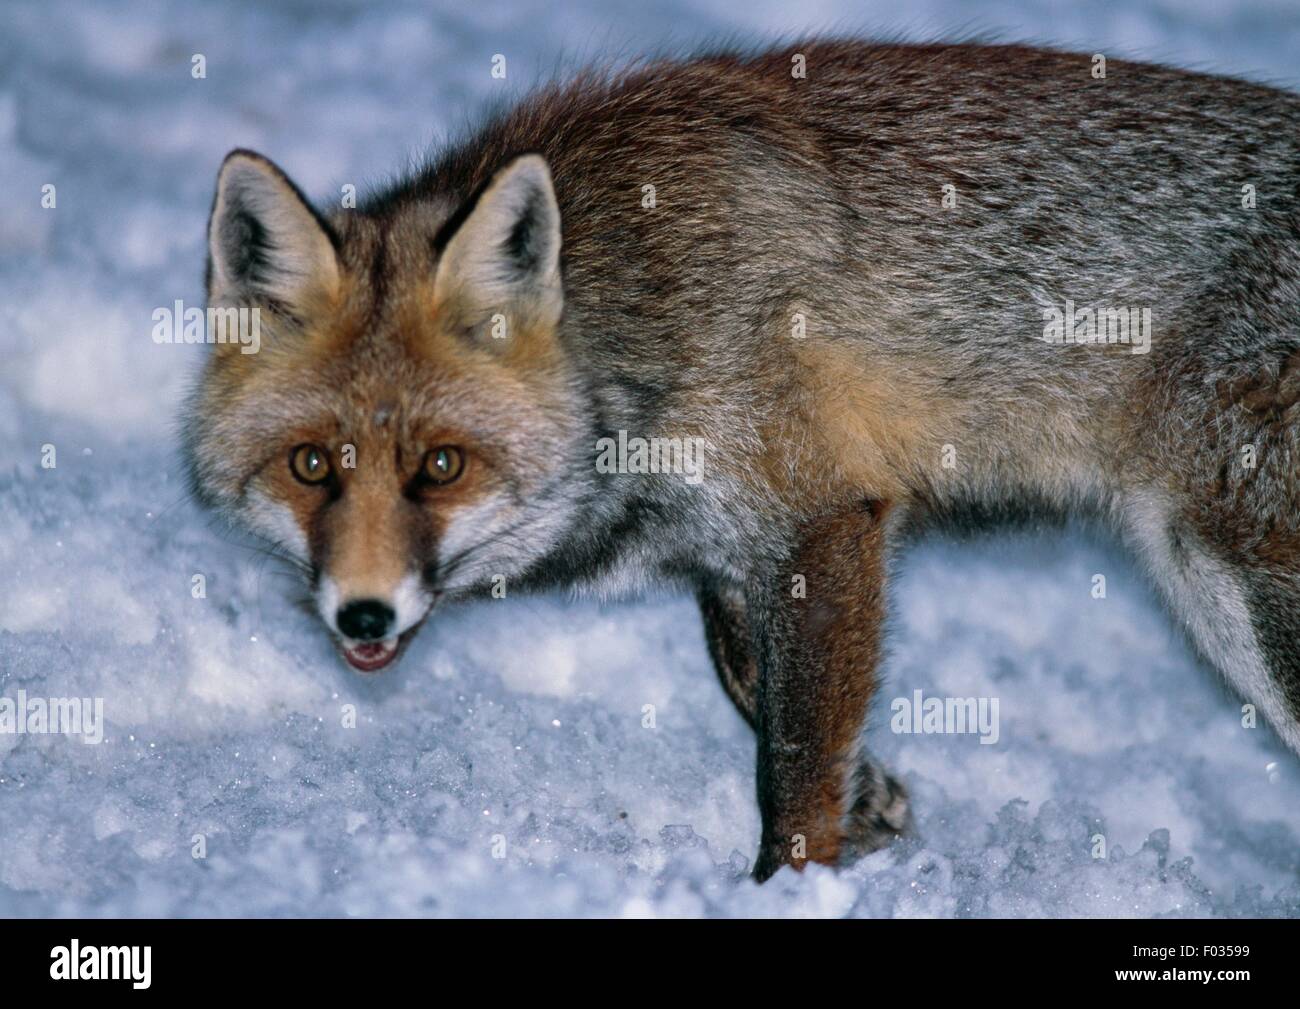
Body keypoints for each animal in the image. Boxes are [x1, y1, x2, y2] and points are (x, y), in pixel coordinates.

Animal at [185, 40, 1300, 881]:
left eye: (444, 467)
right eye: (311, 467)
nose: (361, 617)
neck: (645, 308)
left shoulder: (822, 514)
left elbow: (791, 768)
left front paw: (792, 888)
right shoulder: (736, 547)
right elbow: (756, 687)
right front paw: (873, 810)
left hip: (1234, 585)